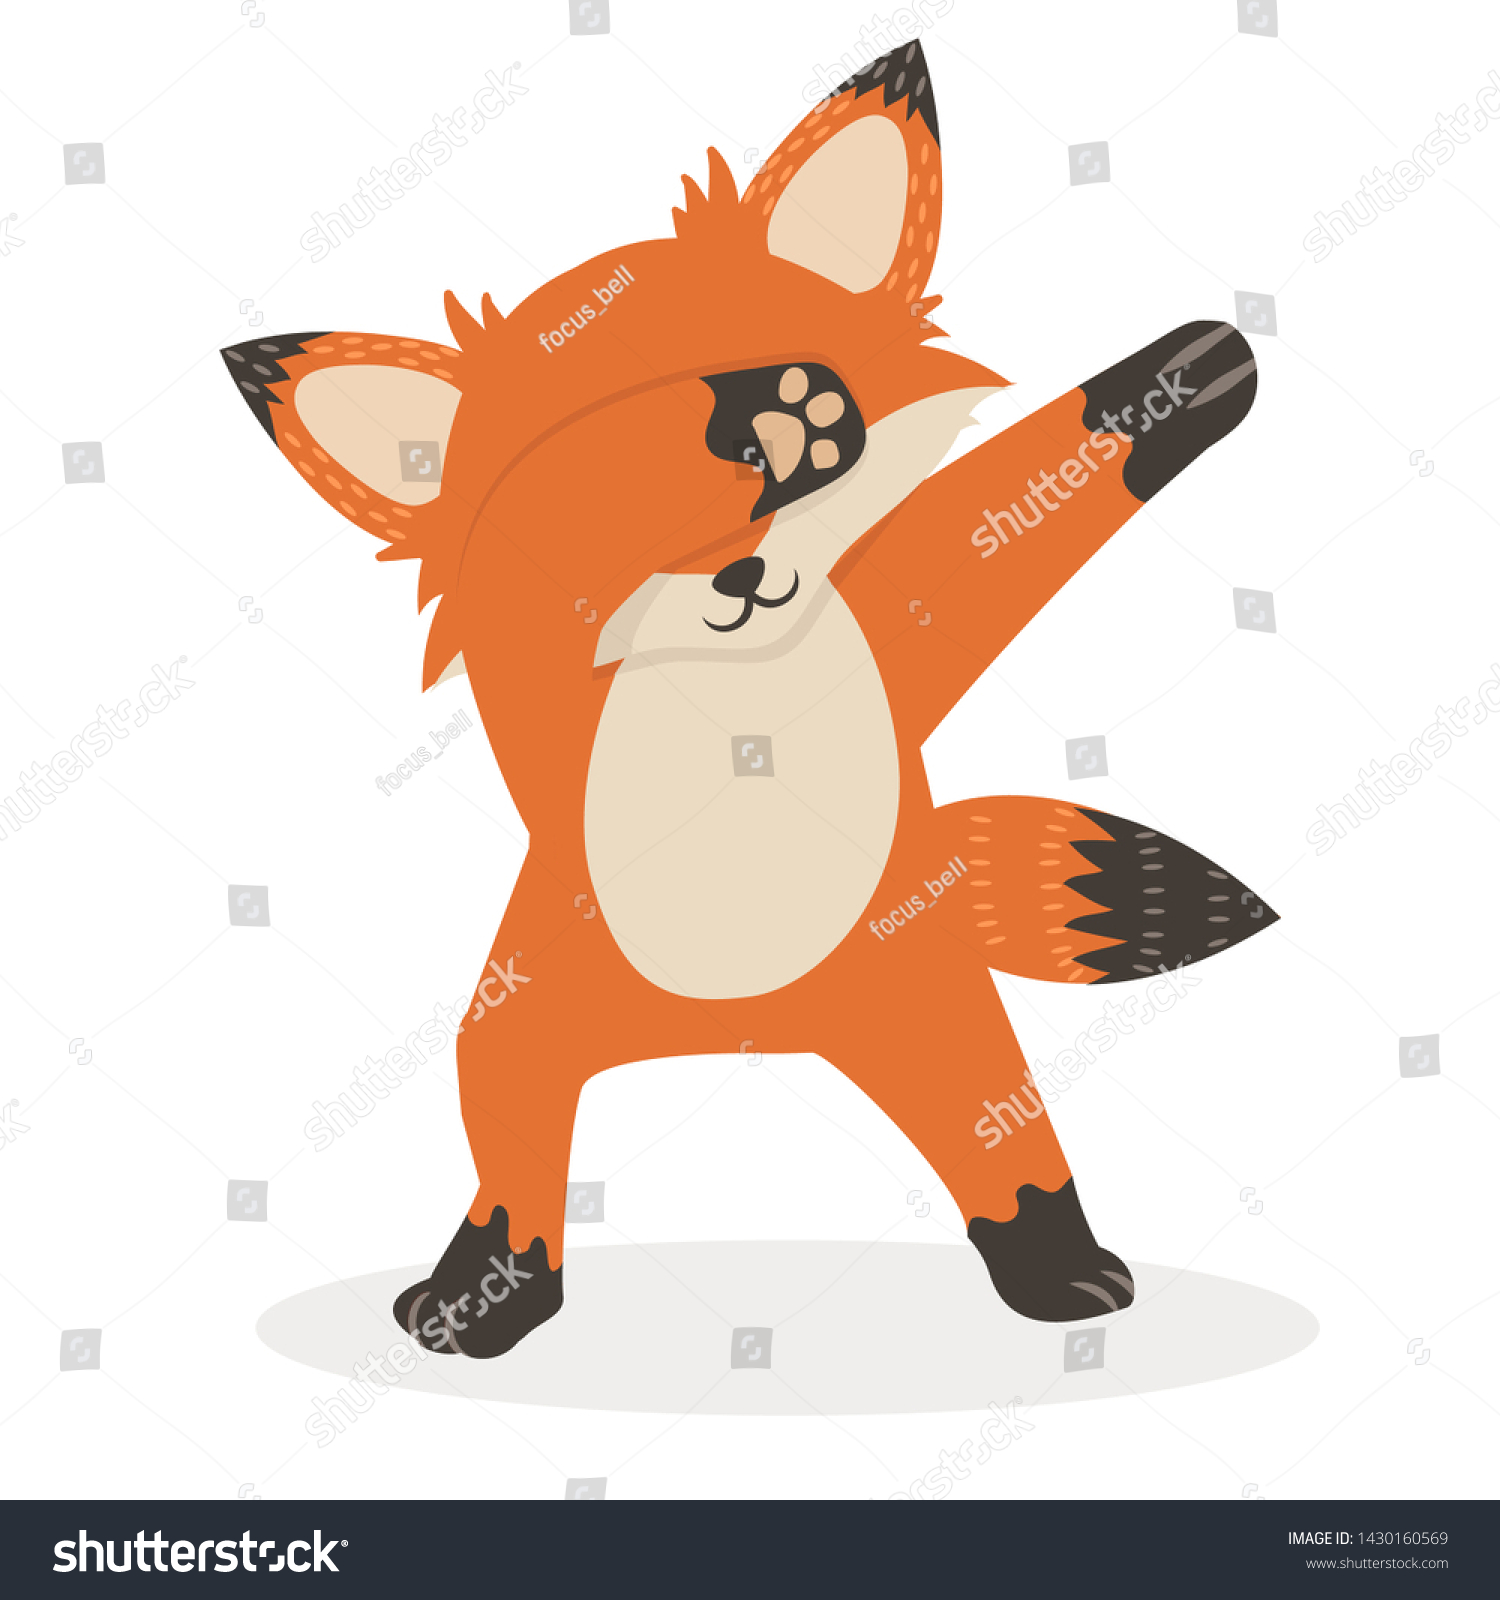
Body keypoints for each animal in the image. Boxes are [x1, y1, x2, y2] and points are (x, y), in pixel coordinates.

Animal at [224, 40, 1273, 1359]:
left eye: (797, 423)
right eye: (594, 512)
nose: (737, 571)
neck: (743, 731)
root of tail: (750, 1027)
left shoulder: (898, 606)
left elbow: (994, 506)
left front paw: (1182, 380)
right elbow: (505, 1115)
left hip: (912, 986)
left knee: (1001, 1131)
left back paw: (1055, 1259)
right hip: (563, 986)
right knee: (509, 1127)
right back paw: (487, 1281)